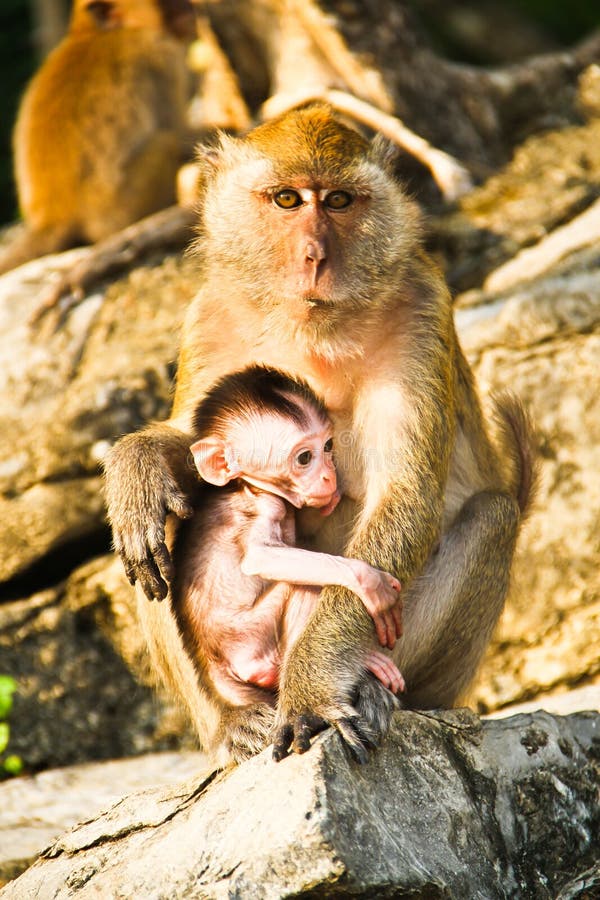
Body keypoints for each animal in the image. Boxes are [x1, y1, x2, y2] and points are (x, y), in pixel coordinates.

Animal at [0, 0, 194, 277]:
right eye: (168, 3)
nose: (190, 9)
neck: (94, 34)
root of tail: (55, 214)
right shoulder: (159, 55)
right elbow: (180, 131)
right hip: (124, 207)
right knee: (168, 141)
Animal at [160, 365, 404, 761]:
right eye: (304, 458)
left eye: (327, 447)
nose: (329, 476)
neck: (249, 486)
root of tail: (212, 668)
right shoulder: (264, 506)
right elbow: (261, 556)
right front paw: (368, 580)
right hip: (249, 644)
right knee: (300, 587)